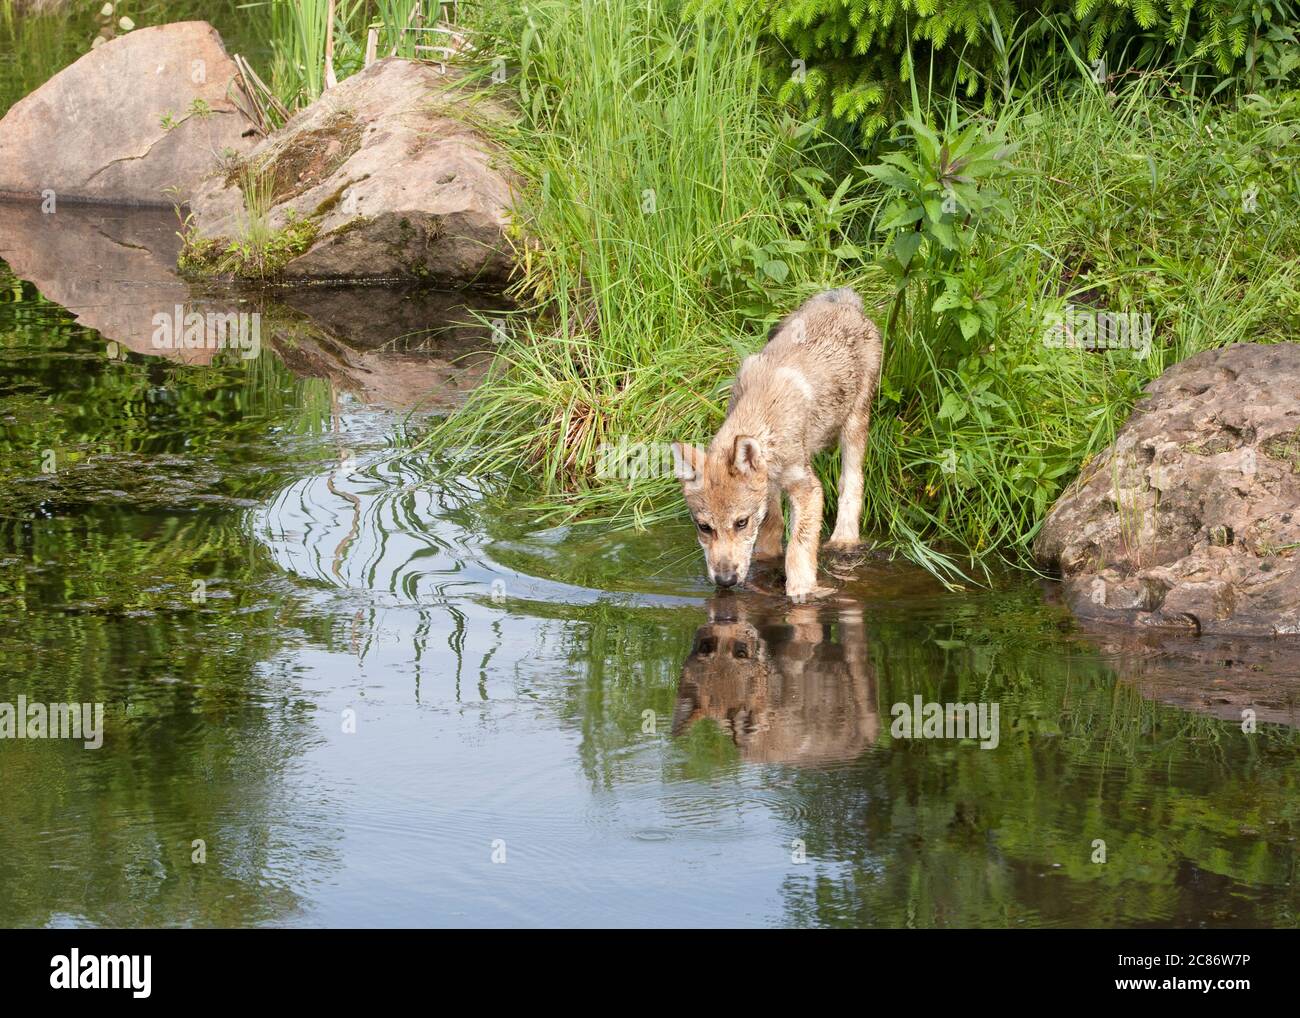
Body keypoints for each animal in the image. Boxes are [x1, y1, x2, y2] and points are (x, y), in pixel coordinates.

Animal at [671, 288, 883, 601]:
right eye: (704, 527)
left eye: (741, 522)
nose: (725, 580)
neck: (765, 413)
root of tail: (845, 301)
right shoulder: (768, 486)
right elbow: (773, 524)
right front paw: (765, 559)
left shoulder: (807, 487)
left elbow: (799, 546)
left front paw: (801, 592)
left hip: (855, 423)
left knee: (852, 482)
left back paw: (844, 540)